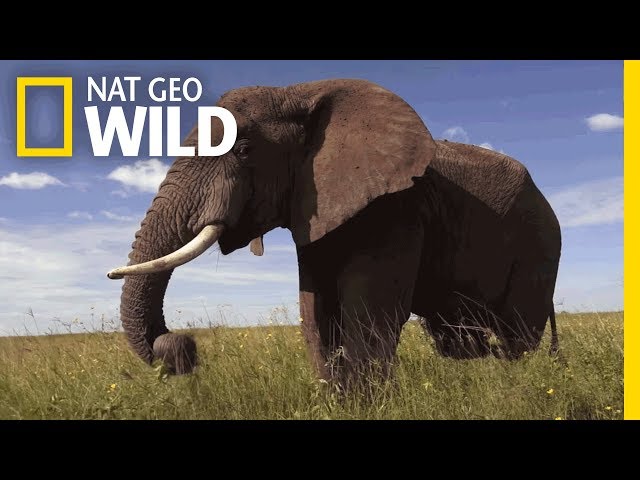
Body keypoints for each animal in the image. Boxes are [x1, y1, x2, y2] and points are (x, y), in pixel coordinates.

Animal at [107, 78, 561, 384]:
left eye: (245, 151)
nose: (183, 346)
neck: (300, 92)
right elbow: (315, 311)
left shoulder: (394, 210)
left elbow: (369, 314)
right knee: (458, 338)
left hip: (539, 245)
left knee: (517, 334)